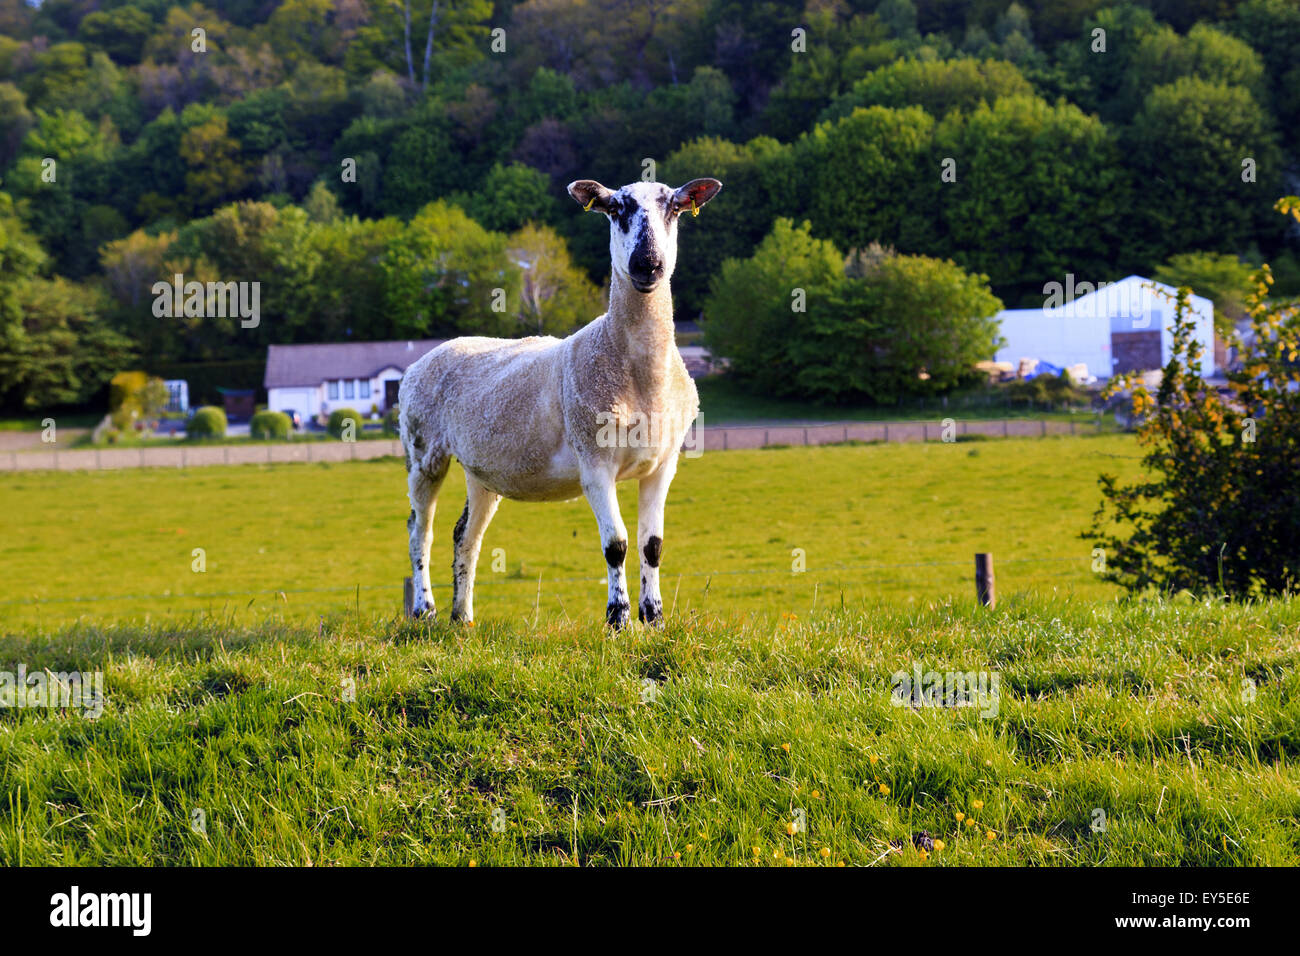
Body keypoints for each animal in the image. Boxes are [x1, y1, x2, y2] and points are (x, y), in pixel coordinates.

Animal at [398, 176, 723, 627]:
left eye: (674, 208)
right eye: (615, 209)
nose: (647, 264)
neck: (640, 377)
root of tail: (425, 358)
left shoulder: (663, 464)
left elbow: (652, 545)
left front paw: (654, 619)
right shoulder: (594, 462)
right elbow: (617, 544)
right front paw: (618, 619)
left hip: (482, 470)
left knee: (465, 535)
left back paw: (462, 618)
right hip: (422, 450)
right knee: (420, 530)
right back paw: (425, 608)